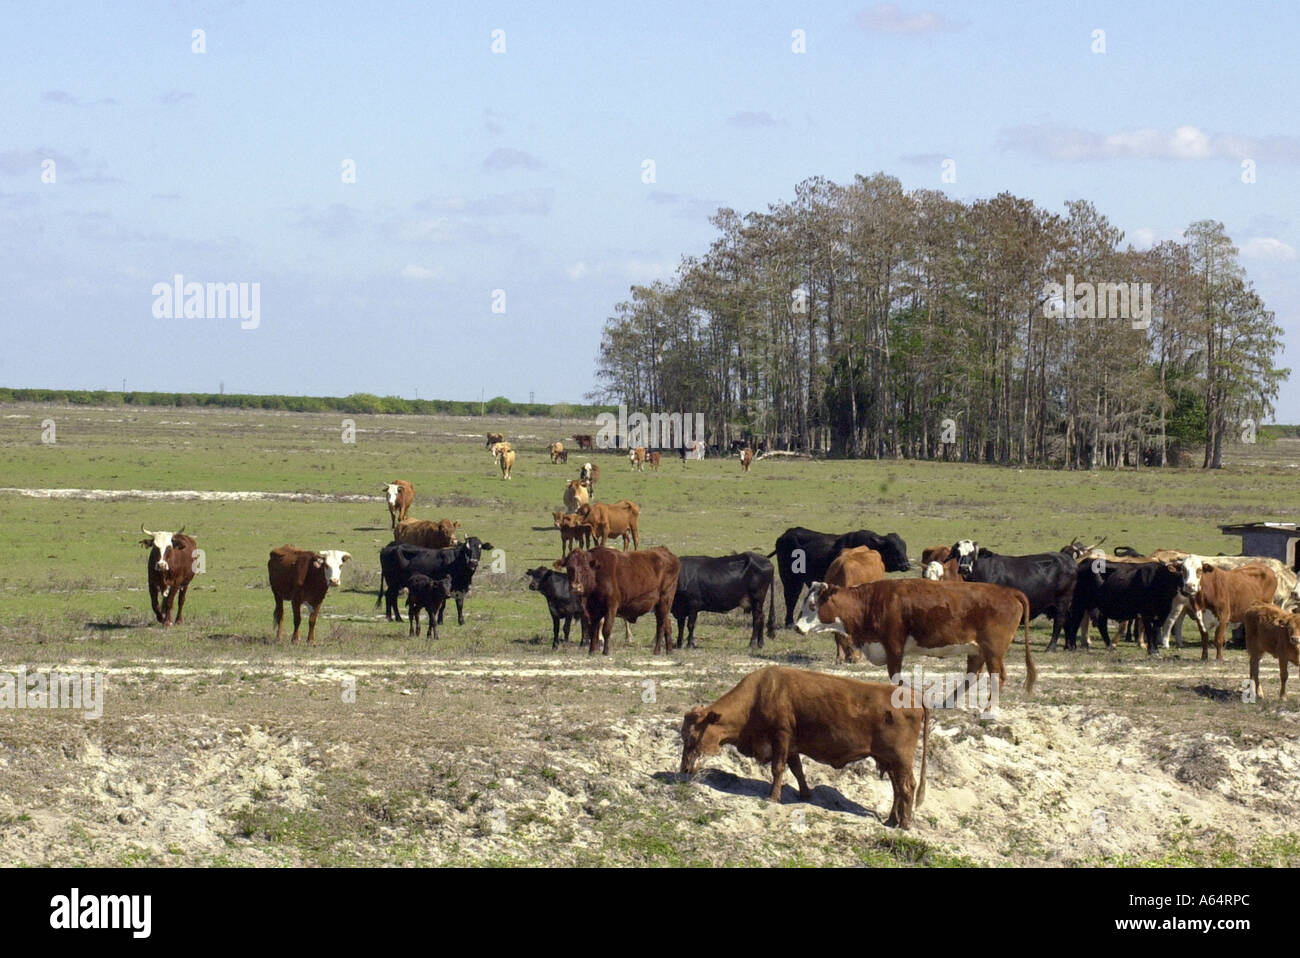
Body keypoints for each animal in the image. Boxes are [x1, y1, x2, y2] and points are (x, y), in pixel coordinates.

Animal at [679, 666, 929, 829]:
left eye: (691, 737)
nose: (684, 770)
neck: (762, 692)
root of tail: (914, 696)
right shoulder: (792, 747)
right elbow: (797, 769)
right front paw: (805, 793)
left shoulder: (781, 737)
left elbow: (778, 769)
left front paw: (773, 797)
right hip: (890, 762)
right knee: (898, 789)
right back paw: (892, 820)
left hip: (900, 761)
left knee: (907, 787)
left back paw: (905, 824)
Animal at [769, 527, 911, 628]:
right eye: (894, 548)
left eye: (904, 547)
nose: (906, 565)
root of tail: (786, 534)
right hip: (791, 578)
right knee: (791, 598)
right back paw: (789, 623)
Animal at [795, 579, 1036, 695]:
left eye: (812, 605)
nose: (796, 627)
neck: (871, 602)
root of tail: (1008, 591)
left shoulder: (894, 646)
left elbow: (896, 677)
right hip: (976, 650)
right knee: (972, 675)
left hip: (993, 650)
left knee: (998, 676)